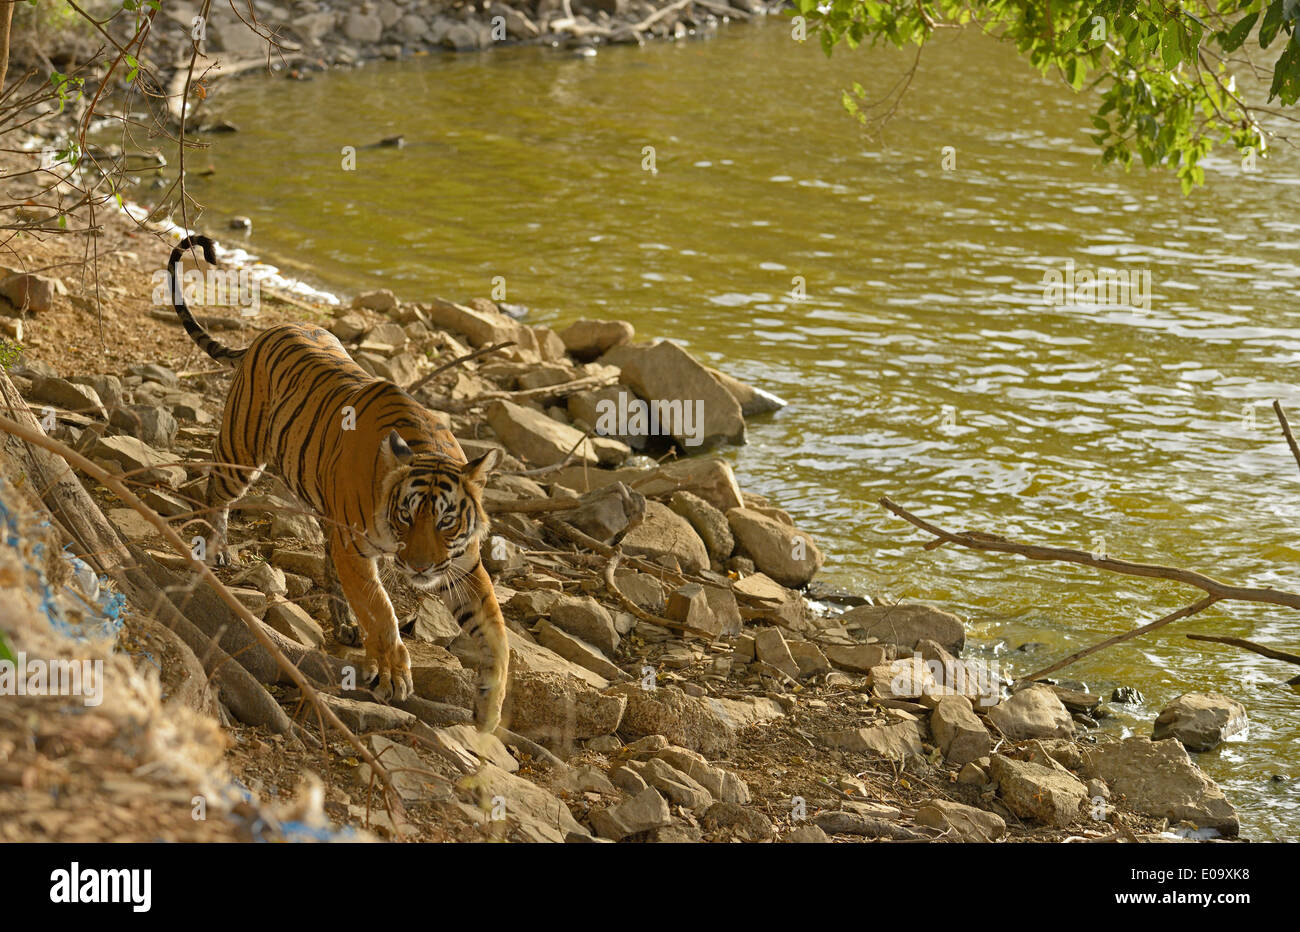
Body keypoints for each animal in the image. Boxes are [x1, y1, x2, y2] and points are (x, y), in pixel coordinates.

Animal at [166, 234, 508, 733]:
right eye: (406, 516)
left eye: (446, 520)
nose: (420, 568)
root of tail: (270, 329)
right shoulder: (356, 548)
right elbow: (380, 610)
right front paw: (393, 675)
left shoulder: (462, 563)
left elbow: (497, 636)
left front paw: (489, 709)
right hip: (241, 452)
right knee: (215, 492)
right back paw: (215, 549)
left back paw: (344, 624)